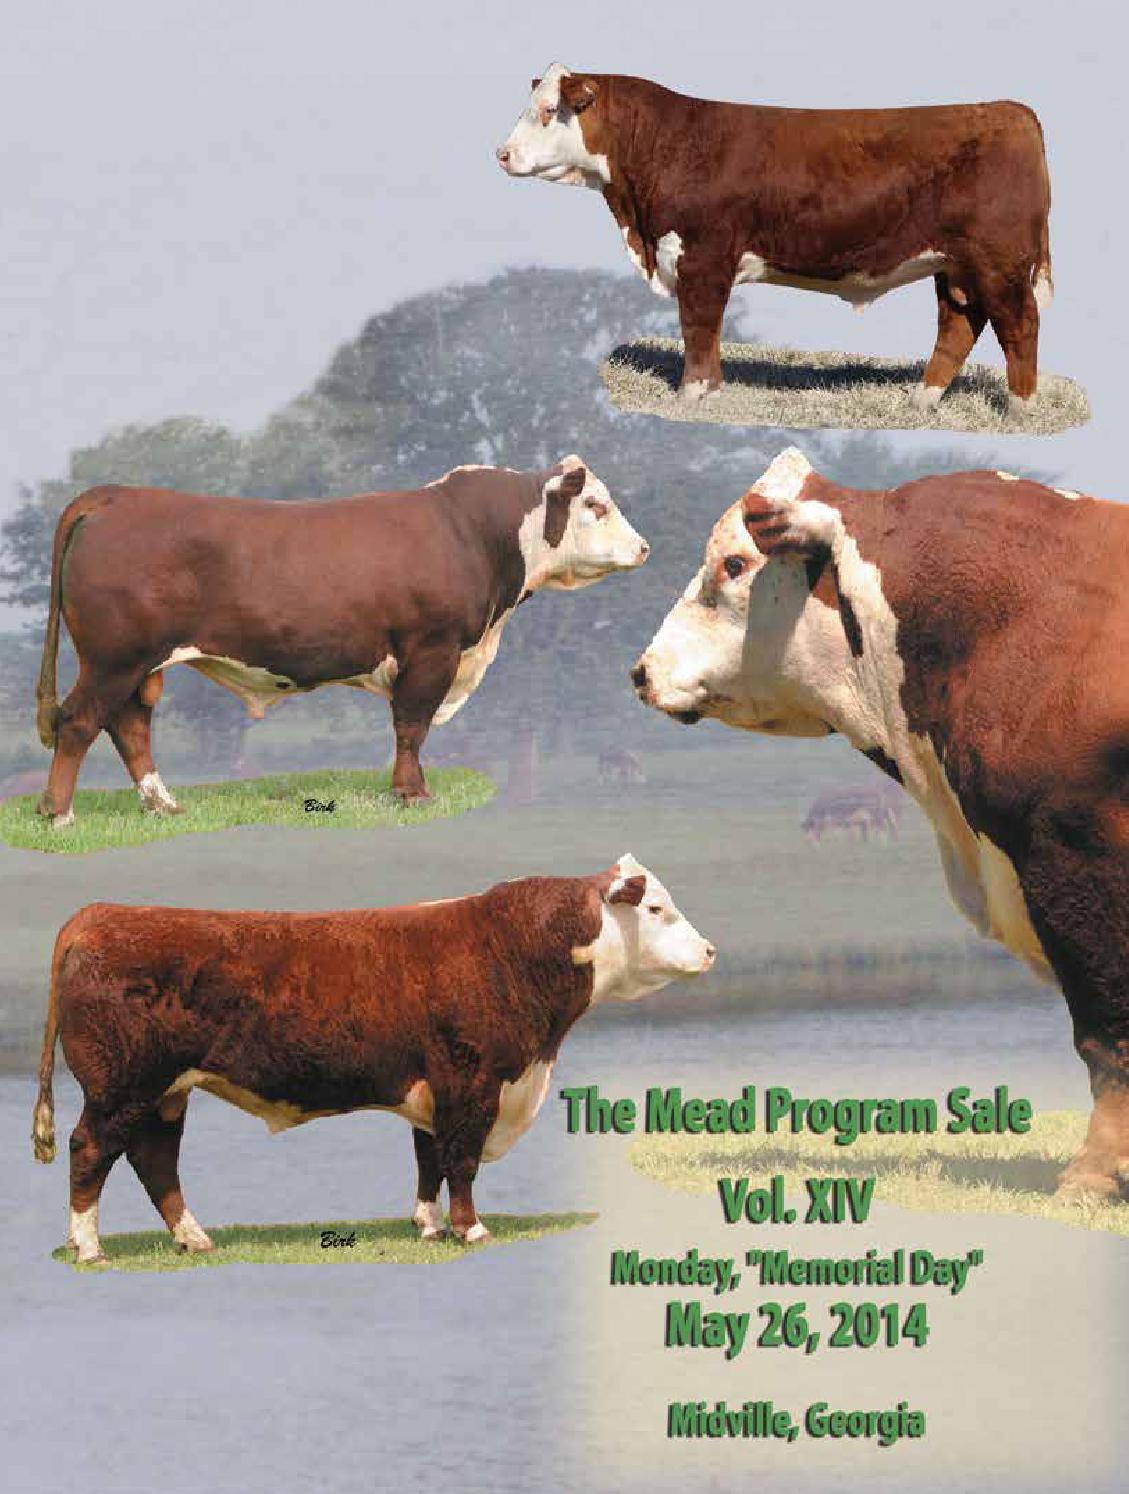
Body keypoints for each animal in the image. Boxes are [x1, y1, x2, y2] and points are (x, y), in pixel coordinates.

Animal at [31, 855, 715, 1264]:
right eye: (656, 909)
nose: (710, 950)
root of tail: (99, 913)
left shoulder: (435, 1089)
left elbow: (428, 1159)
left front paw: (428, 1226)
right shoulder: (471, 1081)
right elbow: (461, 1160)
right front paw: (471, 1229)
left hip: (166, 1092)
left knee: (155, 1160)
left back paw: (193, 1238)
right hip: (121, 1088)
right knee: (90, 1150)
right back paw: (88, 1246)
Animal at [34, 458, 649, 826]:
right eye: (596, 505)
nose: (644, 548)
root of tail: (117, 495)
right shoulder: (433, 648)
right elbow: (412, 726)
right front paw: (413, 794)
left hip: (140, 666)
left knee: (130, 725)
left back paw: (164, 805)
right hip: (113, 658)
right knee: (79, 722)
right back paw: (58, 814)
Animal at [497, 66, 1052, 413]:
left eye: (548, 110)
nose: (501, 154)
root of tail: (1011, 109)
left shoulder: (702, 257)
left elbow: (698, 327)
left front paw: (689, 397)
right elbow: (706, 332)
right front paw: (710, 393)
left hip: (1000, 262)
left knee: (1020, 324)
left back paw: (1020, 411)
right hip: (955, 266)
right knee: (959, 326)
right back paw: (921, 402)